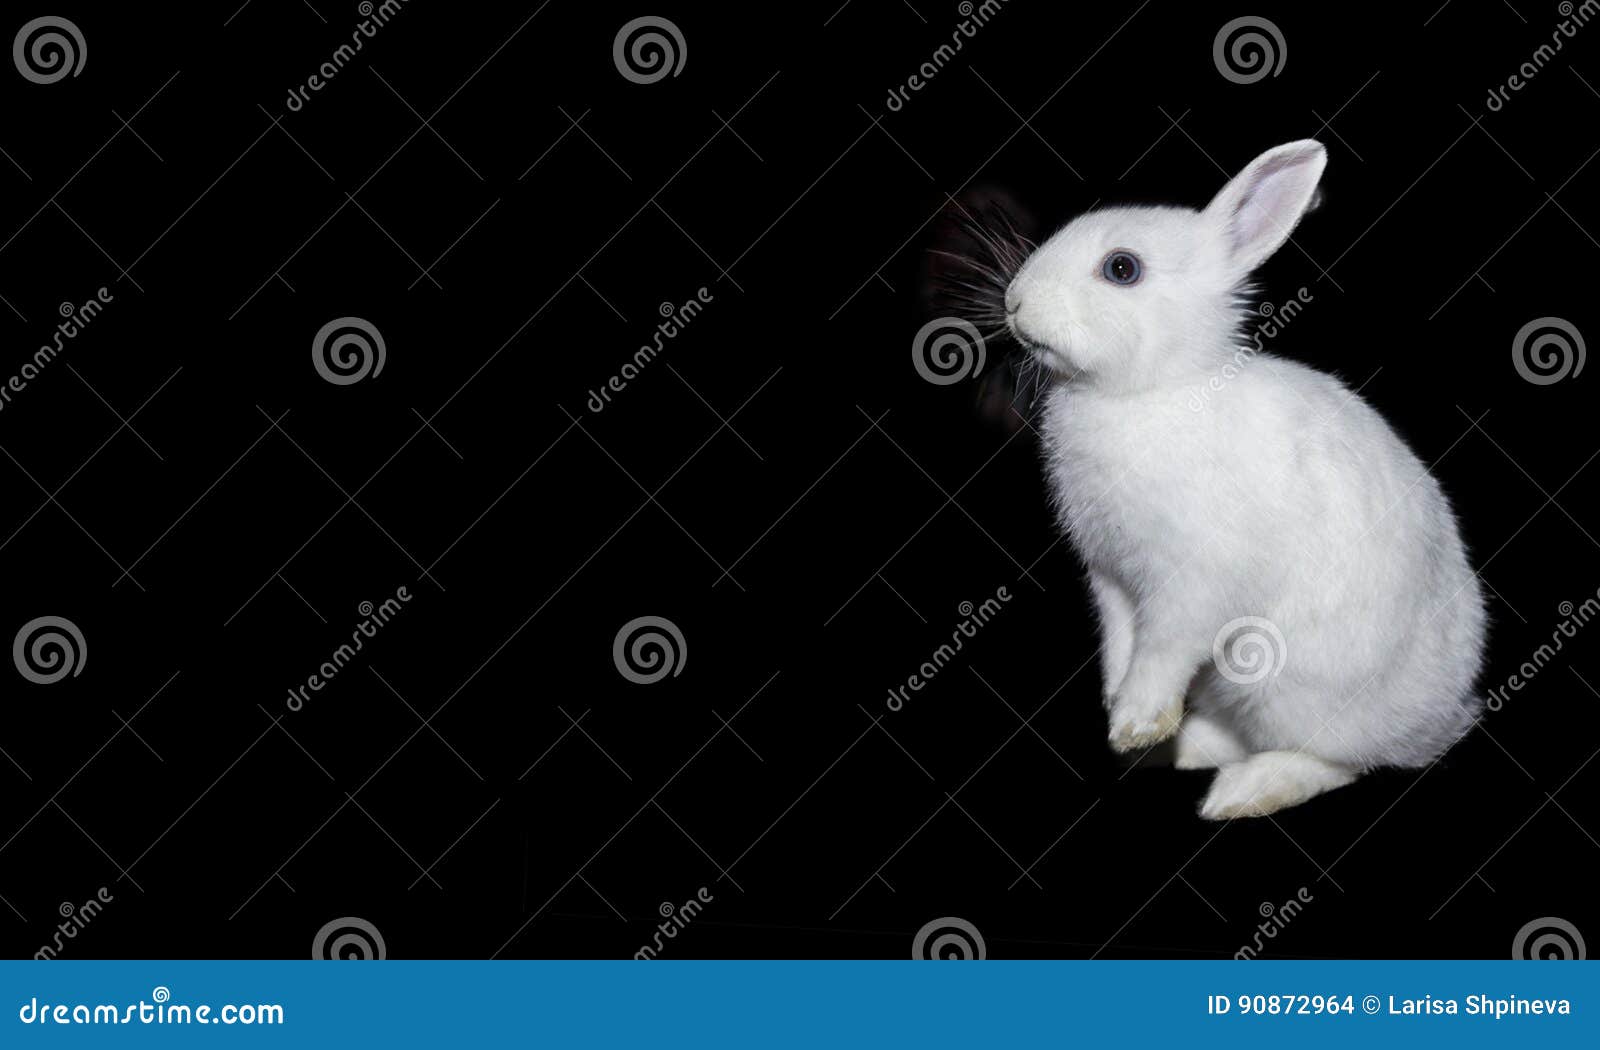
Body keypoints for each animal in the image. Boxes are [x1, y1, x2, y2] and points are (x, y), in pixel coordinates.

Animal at [1002, 140, 1486, 819]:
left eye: (1122, 269)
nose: (1015, 303)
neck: (1151, 391)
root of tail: (1448, 714)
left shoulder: (1193, 585)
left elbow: (1164, 648)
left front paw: (1135, 724)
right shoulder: (1113, 579)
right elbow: (1122, 643)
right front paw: (1123, 712)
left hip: (1290, 687)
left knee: (1342, 759)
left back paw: (1242, 791)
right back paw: (1188, 748)